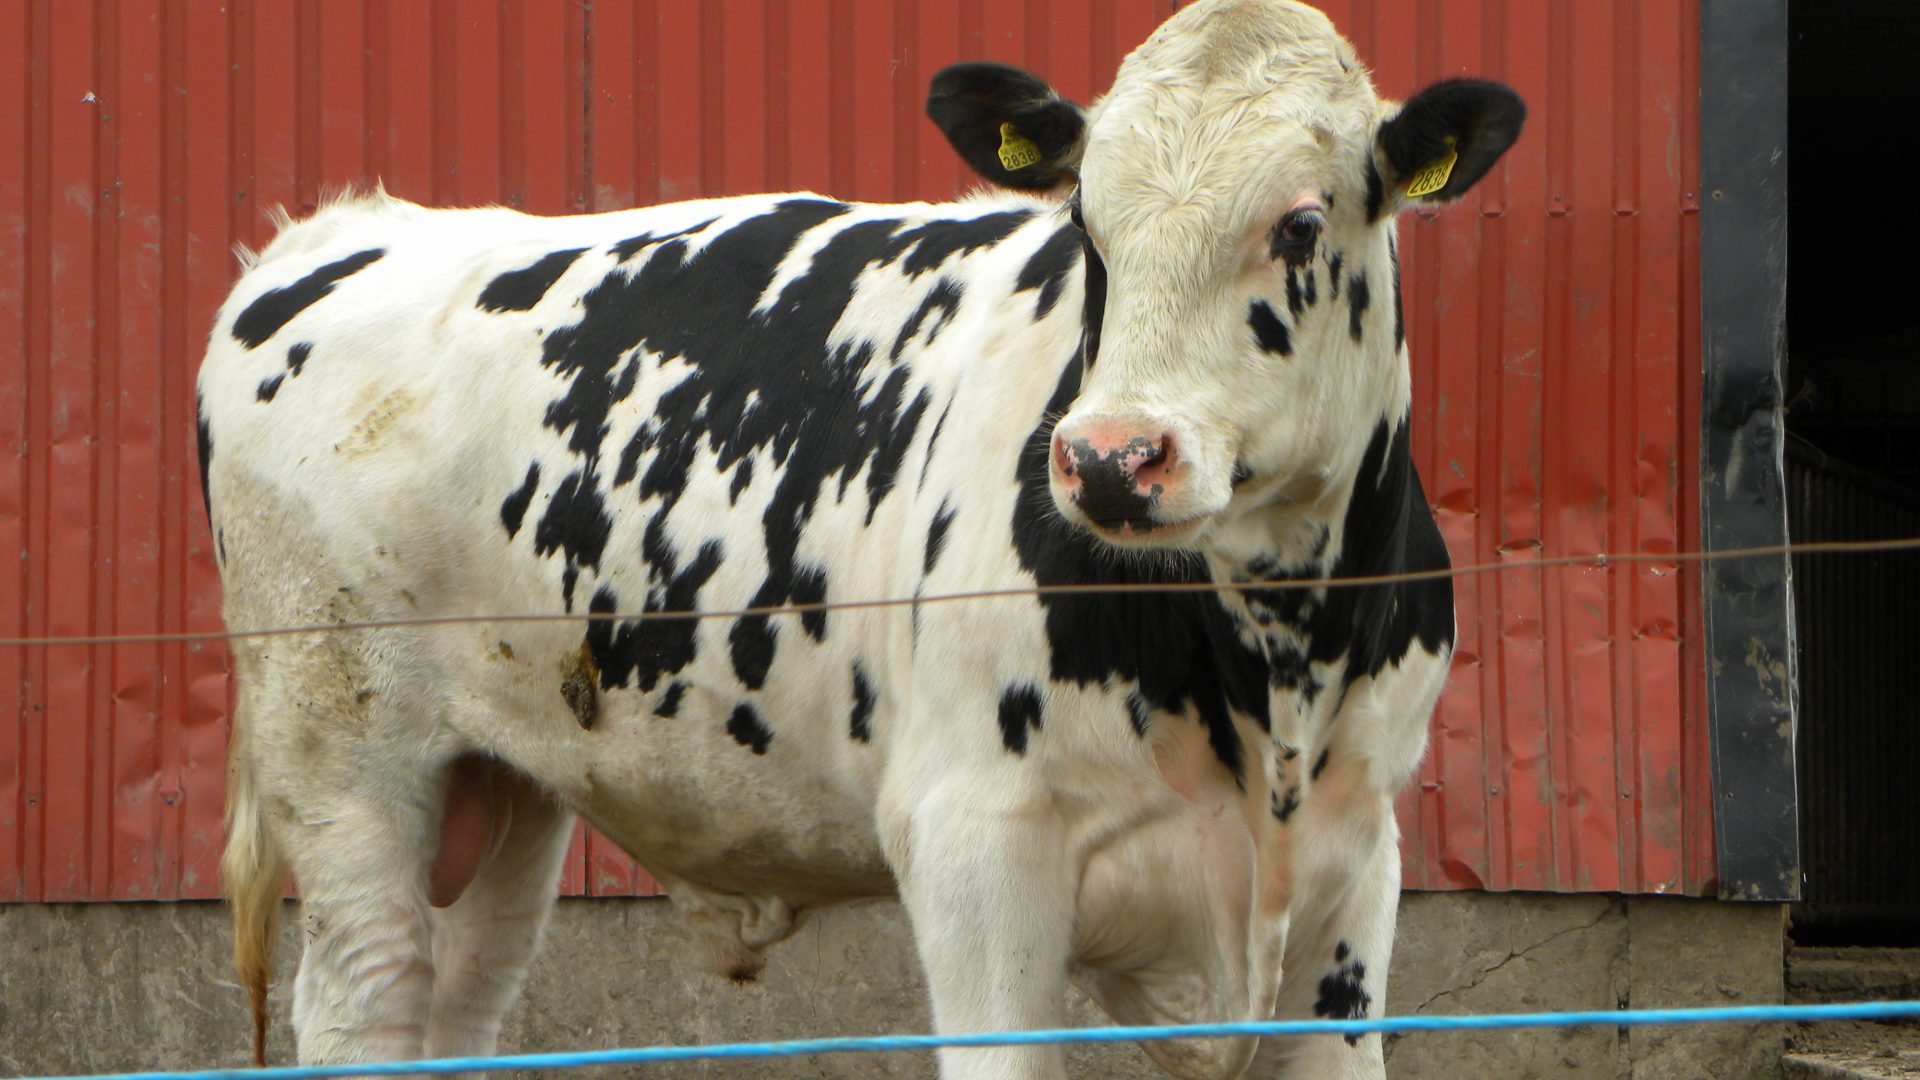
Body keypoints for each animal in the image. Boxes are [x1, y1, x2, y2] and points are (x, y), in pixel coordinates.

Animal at [197, 2, 1522, 1077]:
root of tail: (340, 233)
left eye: (1300, 225)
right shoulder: (975, 849)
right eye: (1087, 224)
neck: (1273, 657)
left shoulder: (1354, 869)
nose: (1109, 457)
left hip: (505, 778)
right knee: (367, 1001)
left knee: (463, 1005)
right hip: (347, 762)